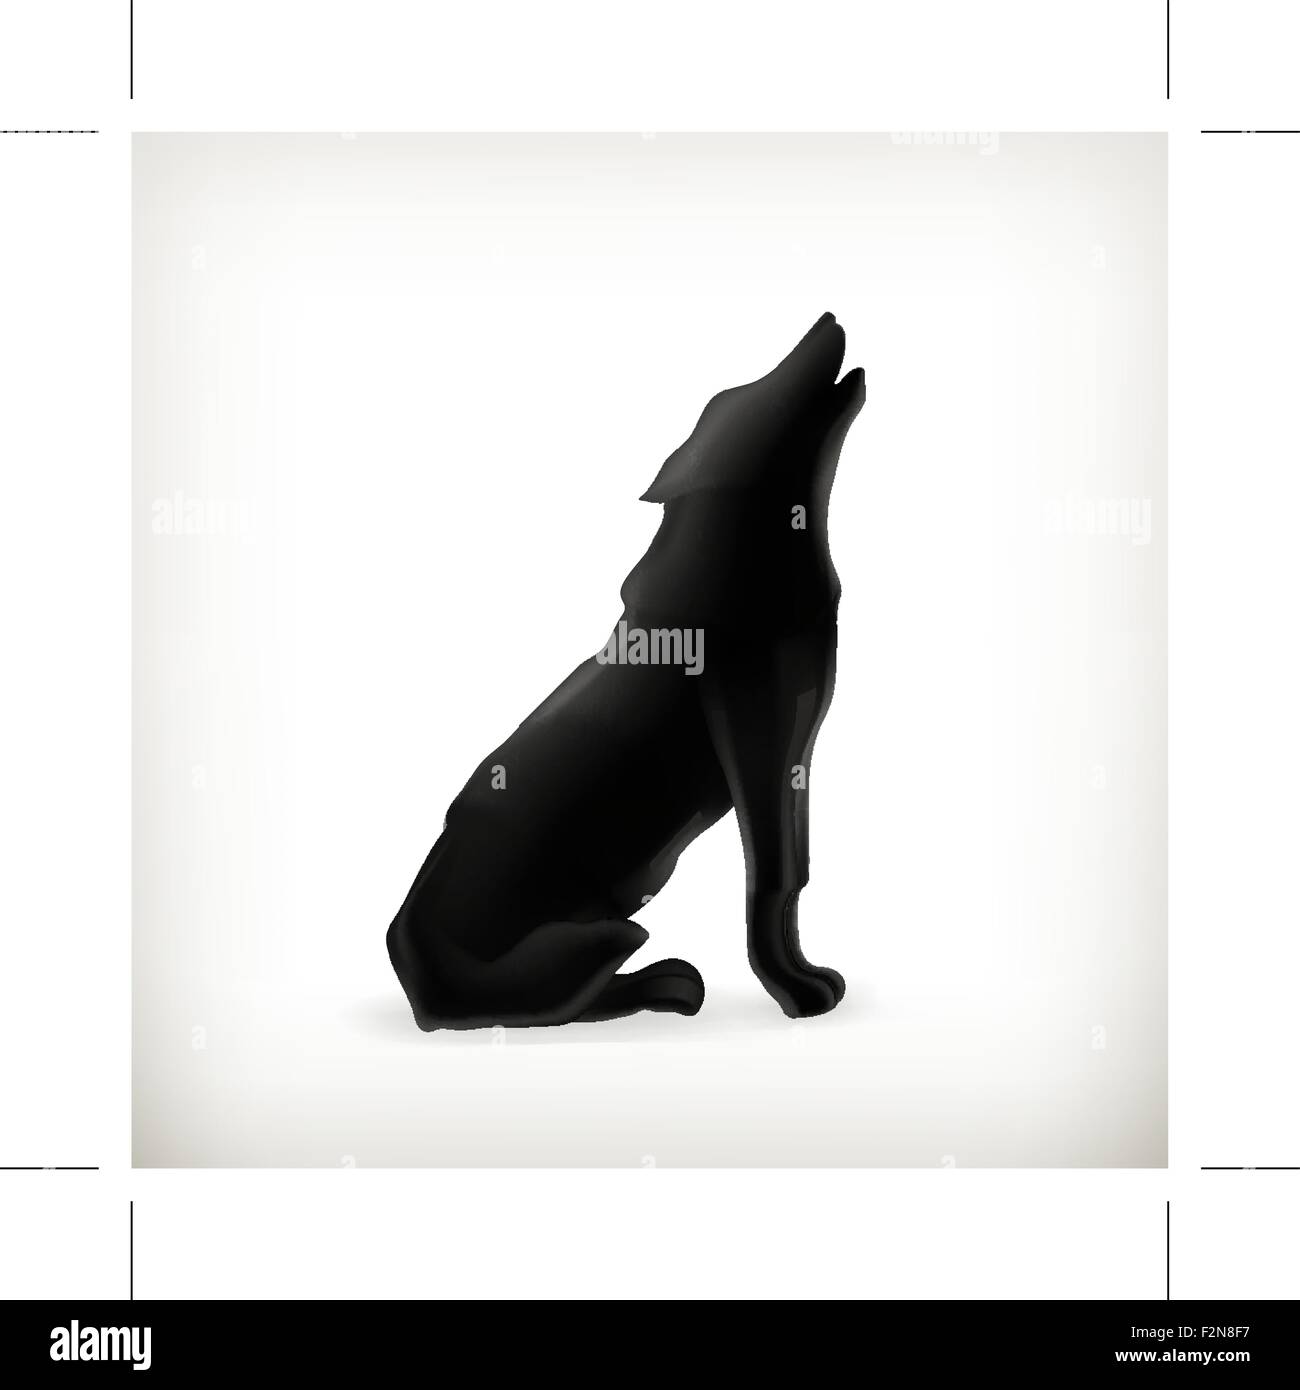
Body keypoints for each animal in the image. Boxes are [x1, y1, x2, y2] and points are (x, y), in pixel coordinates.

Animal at [387, 313, 866, 1028]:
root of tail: (414, 977)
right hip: (588, 933)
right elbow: (774, 876)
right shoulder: (755, 731)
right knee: (553, 1001)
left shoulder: (798, 738)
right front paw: (795, 992)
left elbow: (796, 869)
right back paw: (667, 983)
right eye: (741, 394)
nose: (827, 319)